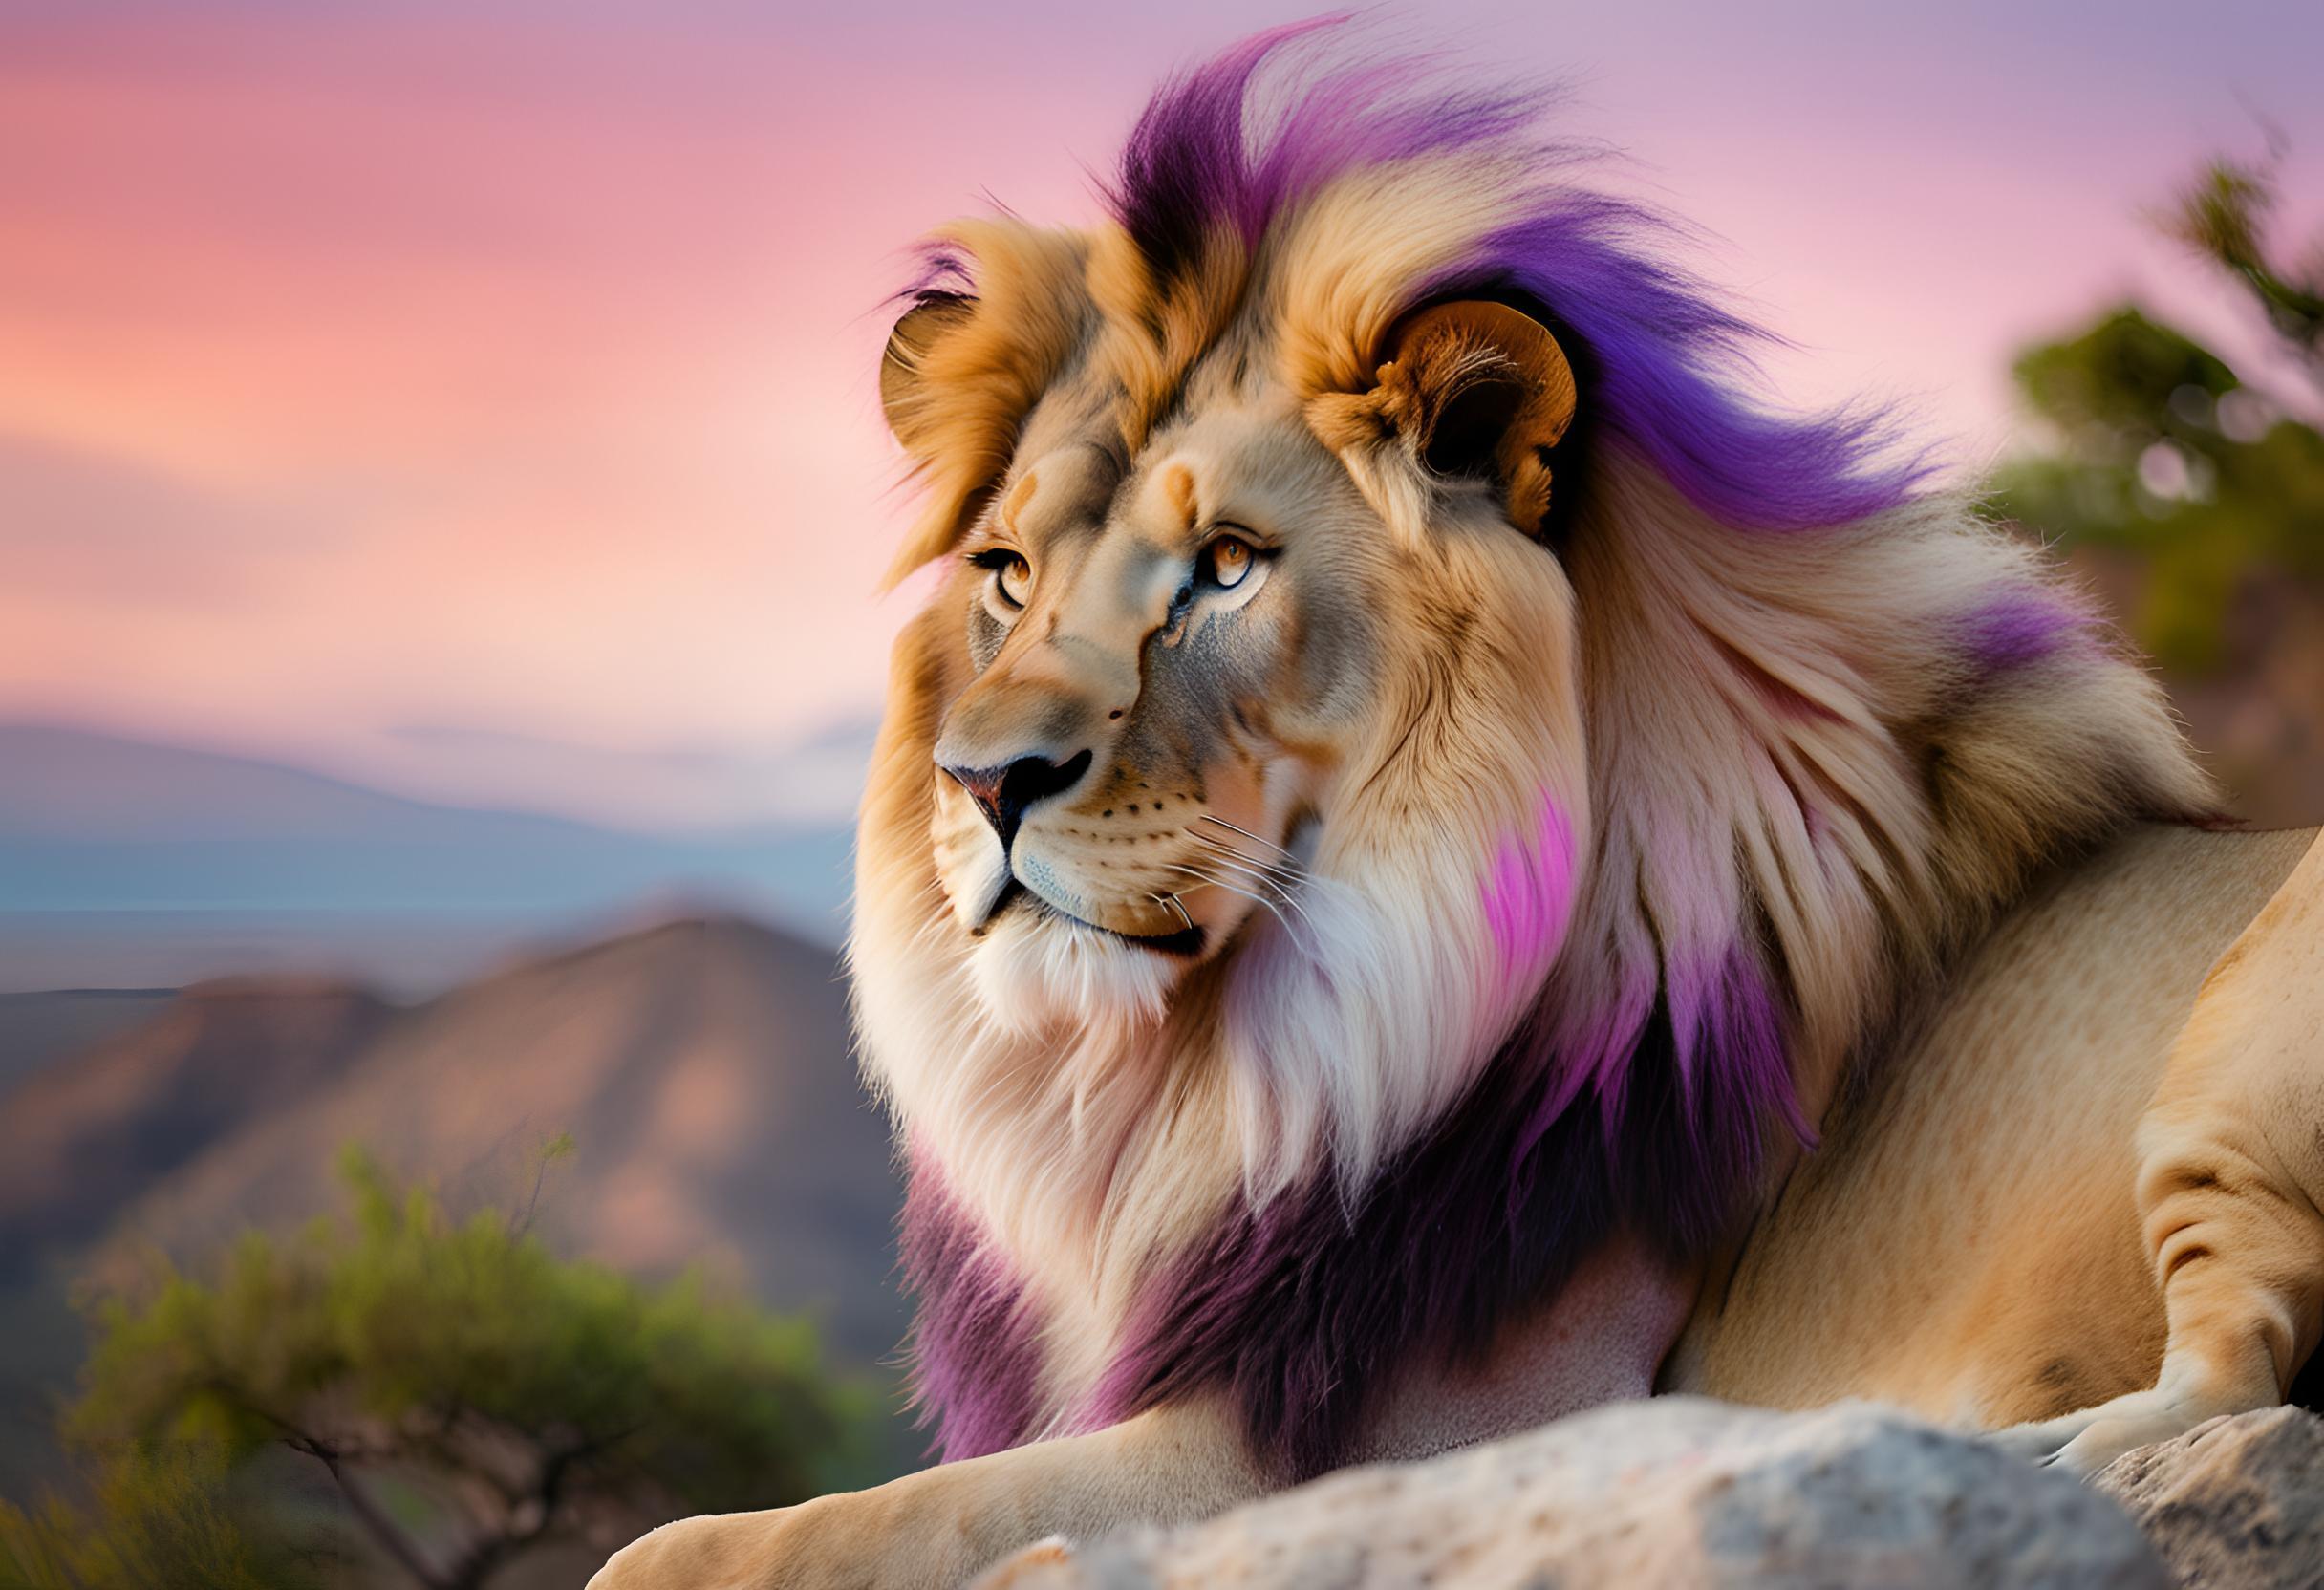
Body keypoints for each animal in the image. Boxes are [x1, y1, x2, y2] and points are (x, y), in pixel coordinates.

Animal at [594, 24, 2324, 1588]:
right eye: (1009, 574)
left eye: (1226, 564)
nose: (982, 781)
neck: (1238, 1068)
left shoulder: (1438, 1425)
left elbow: (801, 1526)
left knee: (2226, 1376)